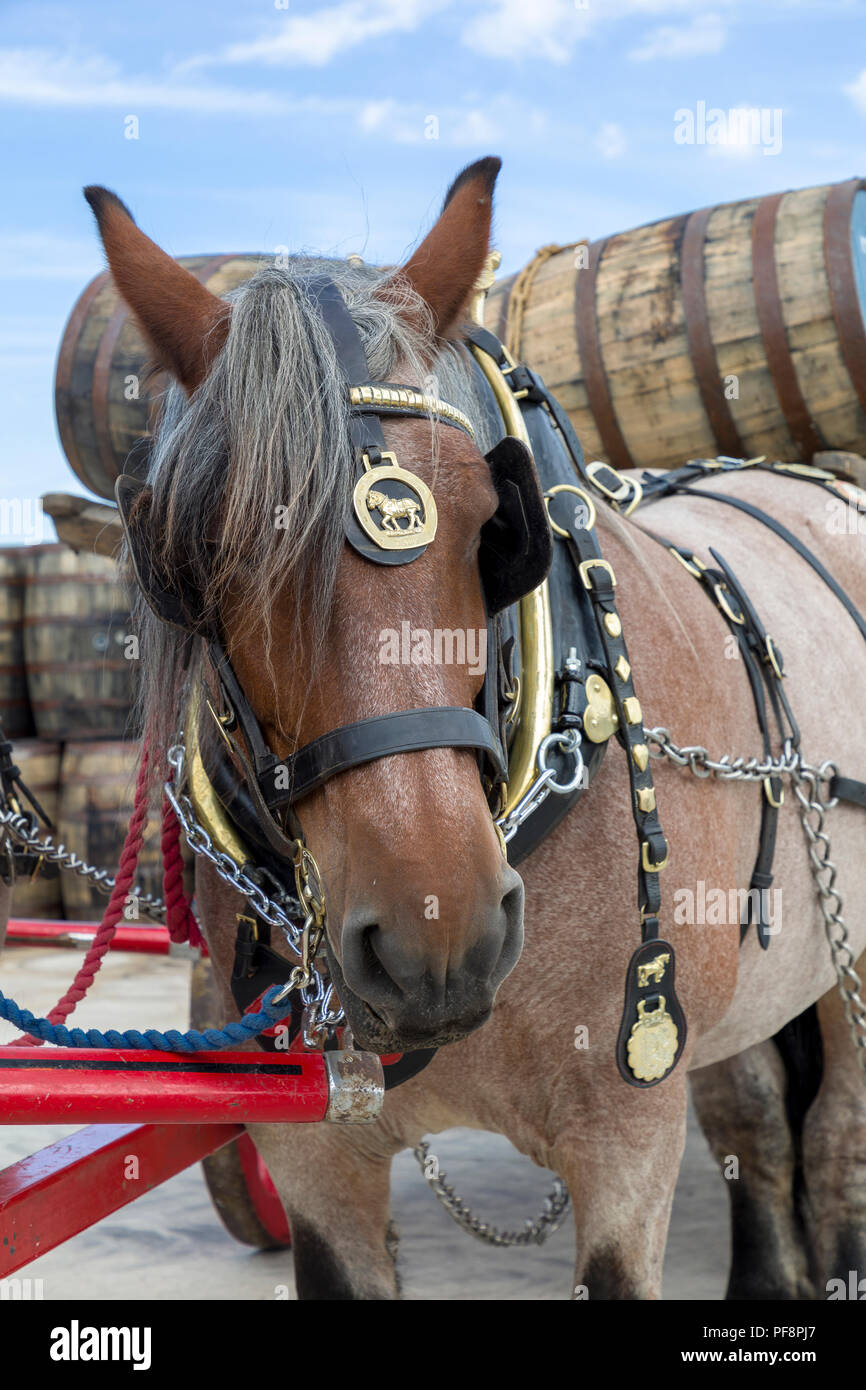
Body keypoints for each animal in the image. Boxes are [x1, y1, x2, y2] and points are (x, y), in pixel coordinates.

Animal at [83, 157, 866, 1299]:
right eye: (209, 554)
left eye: (492, 528)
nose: (436, 941)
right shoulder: (315, 1156)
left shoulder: (628, 1138)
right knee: (755, 1115)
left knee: (835, 1127)